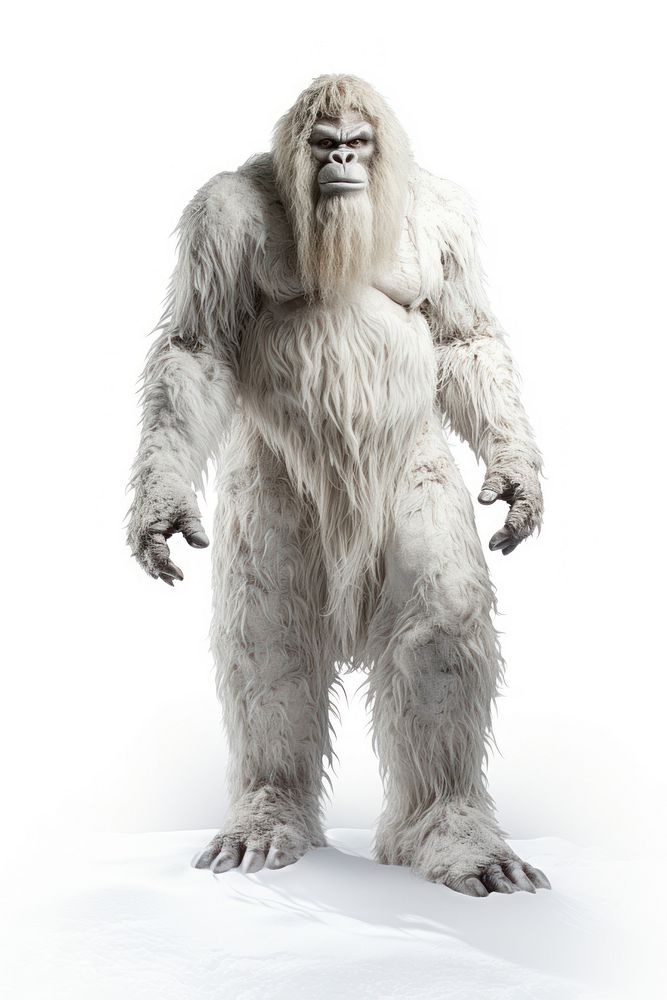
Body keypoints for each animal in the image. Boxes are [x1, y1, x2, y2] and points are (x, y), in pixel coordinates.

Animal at [128, 75, 550, 896]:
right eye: (325, 141)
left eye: (359, 138)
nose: (344, 158)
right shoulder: (216, 216)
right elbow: (195, 347)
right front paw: (157, 512)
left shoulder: (448, 218)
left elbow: (465, 339)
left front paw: (518, 479)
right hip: (269, 508)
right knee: (269, 641)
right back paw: (265, 817)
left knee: (436, 627)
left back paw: (452, 833)